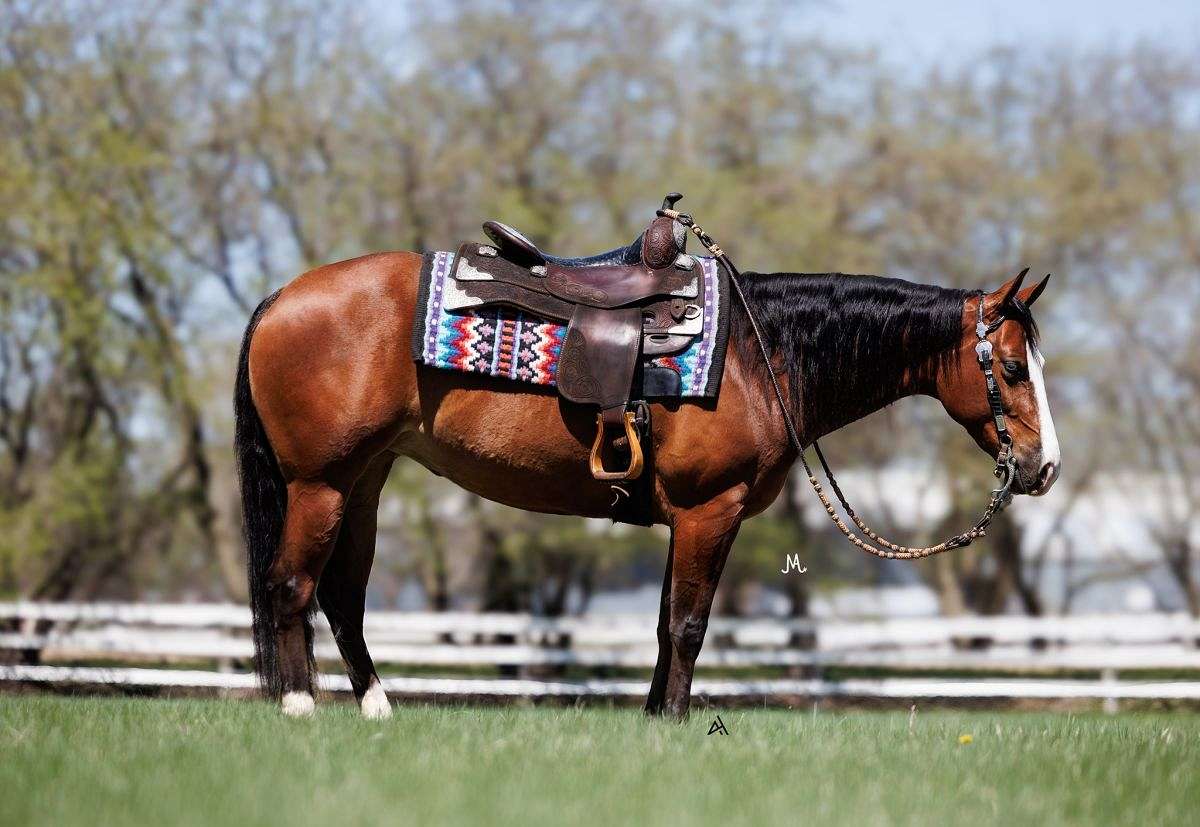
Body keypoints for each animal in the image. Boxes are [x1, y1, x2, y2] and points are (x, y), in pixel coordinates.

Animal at [234, 247, 1059, 719]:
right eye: (1012, 367)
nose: (1043, 465)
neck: (758, 352)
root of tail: (280, 297)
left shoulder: (682, 520)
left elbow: (665, 622)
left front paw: (655, 715)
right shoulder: (709, 511)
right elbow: (690, 623)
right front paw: (680, 719)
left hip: (363, 484)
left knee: (341, 597)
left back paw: (377, 707)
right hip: (319, 483)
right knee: (290, 585)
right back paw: (300, 705)